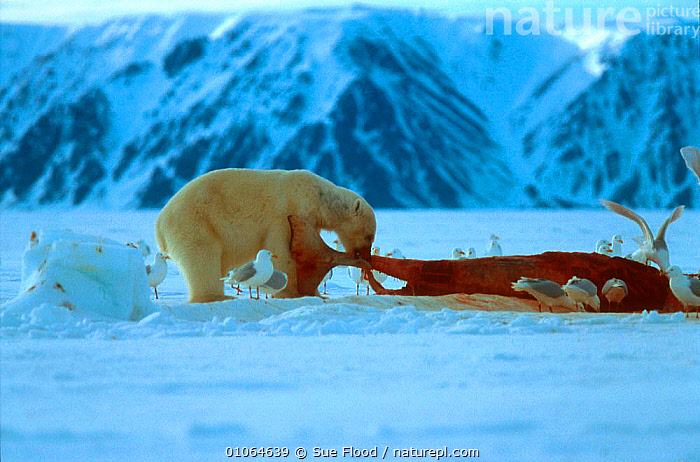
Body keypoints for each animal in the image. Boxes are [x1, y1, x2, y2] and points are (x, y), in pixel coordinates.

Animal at [155, 168, 376, 302]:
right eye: (369, 235)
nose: (367, 256)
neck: (315, 198)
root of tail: (160, 225)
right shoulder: (284, 214)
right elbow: (282, 251)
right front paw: (290, 293)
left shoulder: (310, 219)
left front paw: (314, 293)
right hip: (195, 222)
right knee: (202, 257)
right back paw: (216, 297)